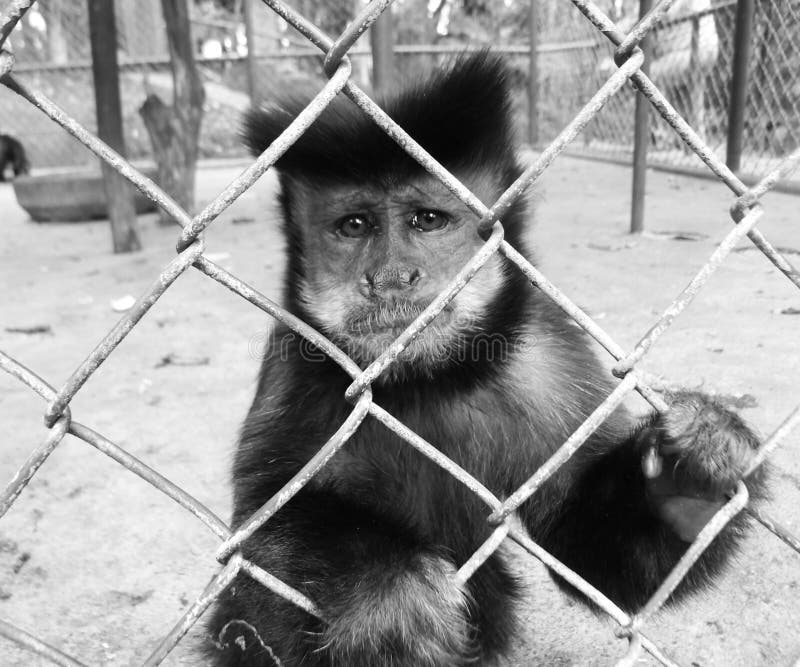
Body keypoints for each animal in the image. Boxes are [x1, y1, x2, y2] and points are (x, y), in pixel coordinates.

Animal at [205, 53, 767, 666]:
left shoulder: (548, 356)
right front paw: (384, 579)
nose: (391, 277)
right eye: (353, 226)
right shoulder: (296, 362)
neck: (427, 378)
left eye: (426, 220)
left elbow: (588, 555)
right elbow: (259, 536)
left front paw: (684, 482)